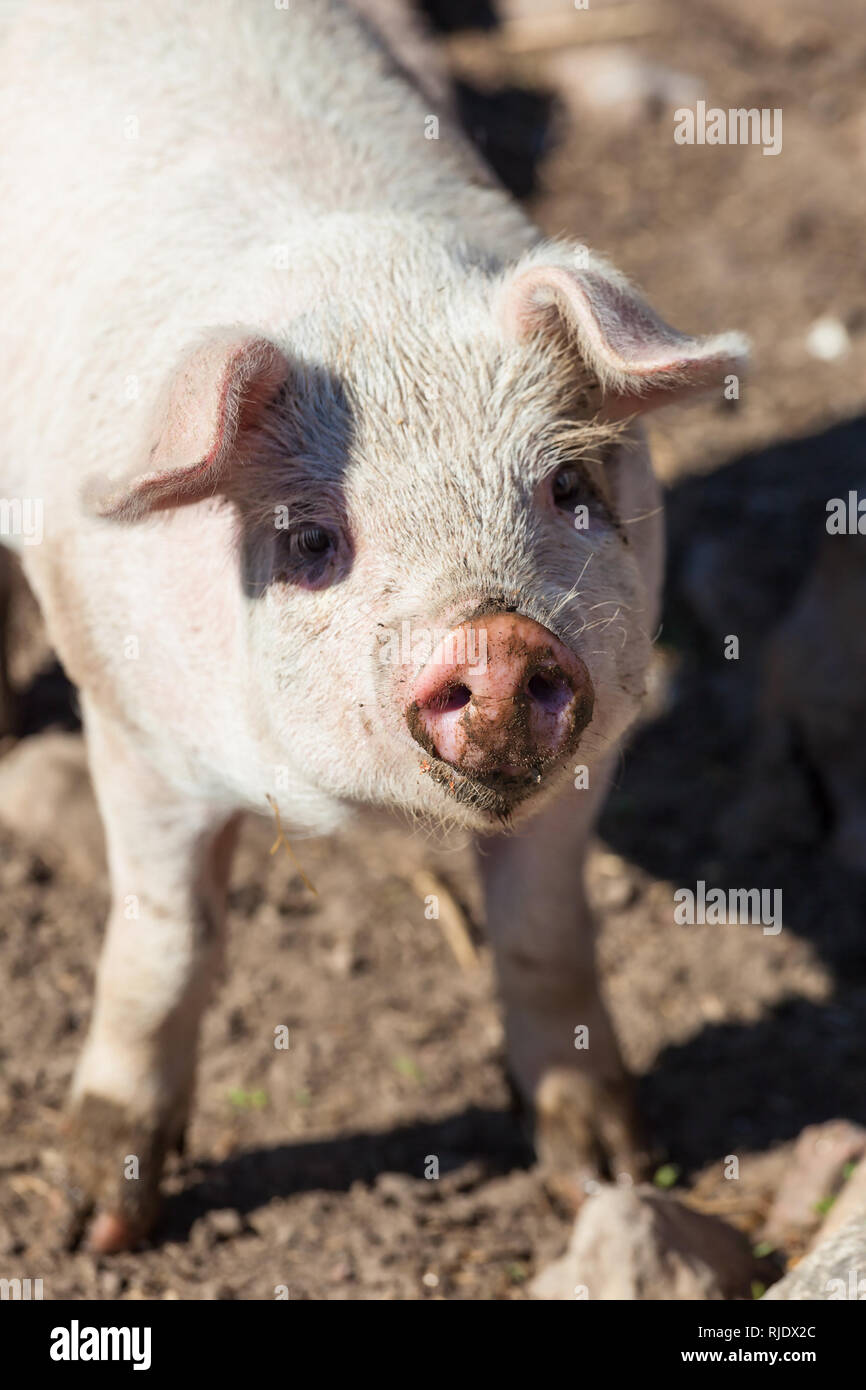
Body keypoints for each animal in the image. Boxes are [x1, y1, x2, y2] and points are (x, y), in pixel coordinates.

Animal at [0, 0, 747, 1252]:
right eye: (310, 540)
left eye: (567, 488)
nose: (496, 641)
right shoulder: (131, 722)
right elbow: (165, 938)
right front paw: (88, 1225)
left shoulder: (596, 742)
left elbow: (545, 931)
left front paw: (601, 1173)